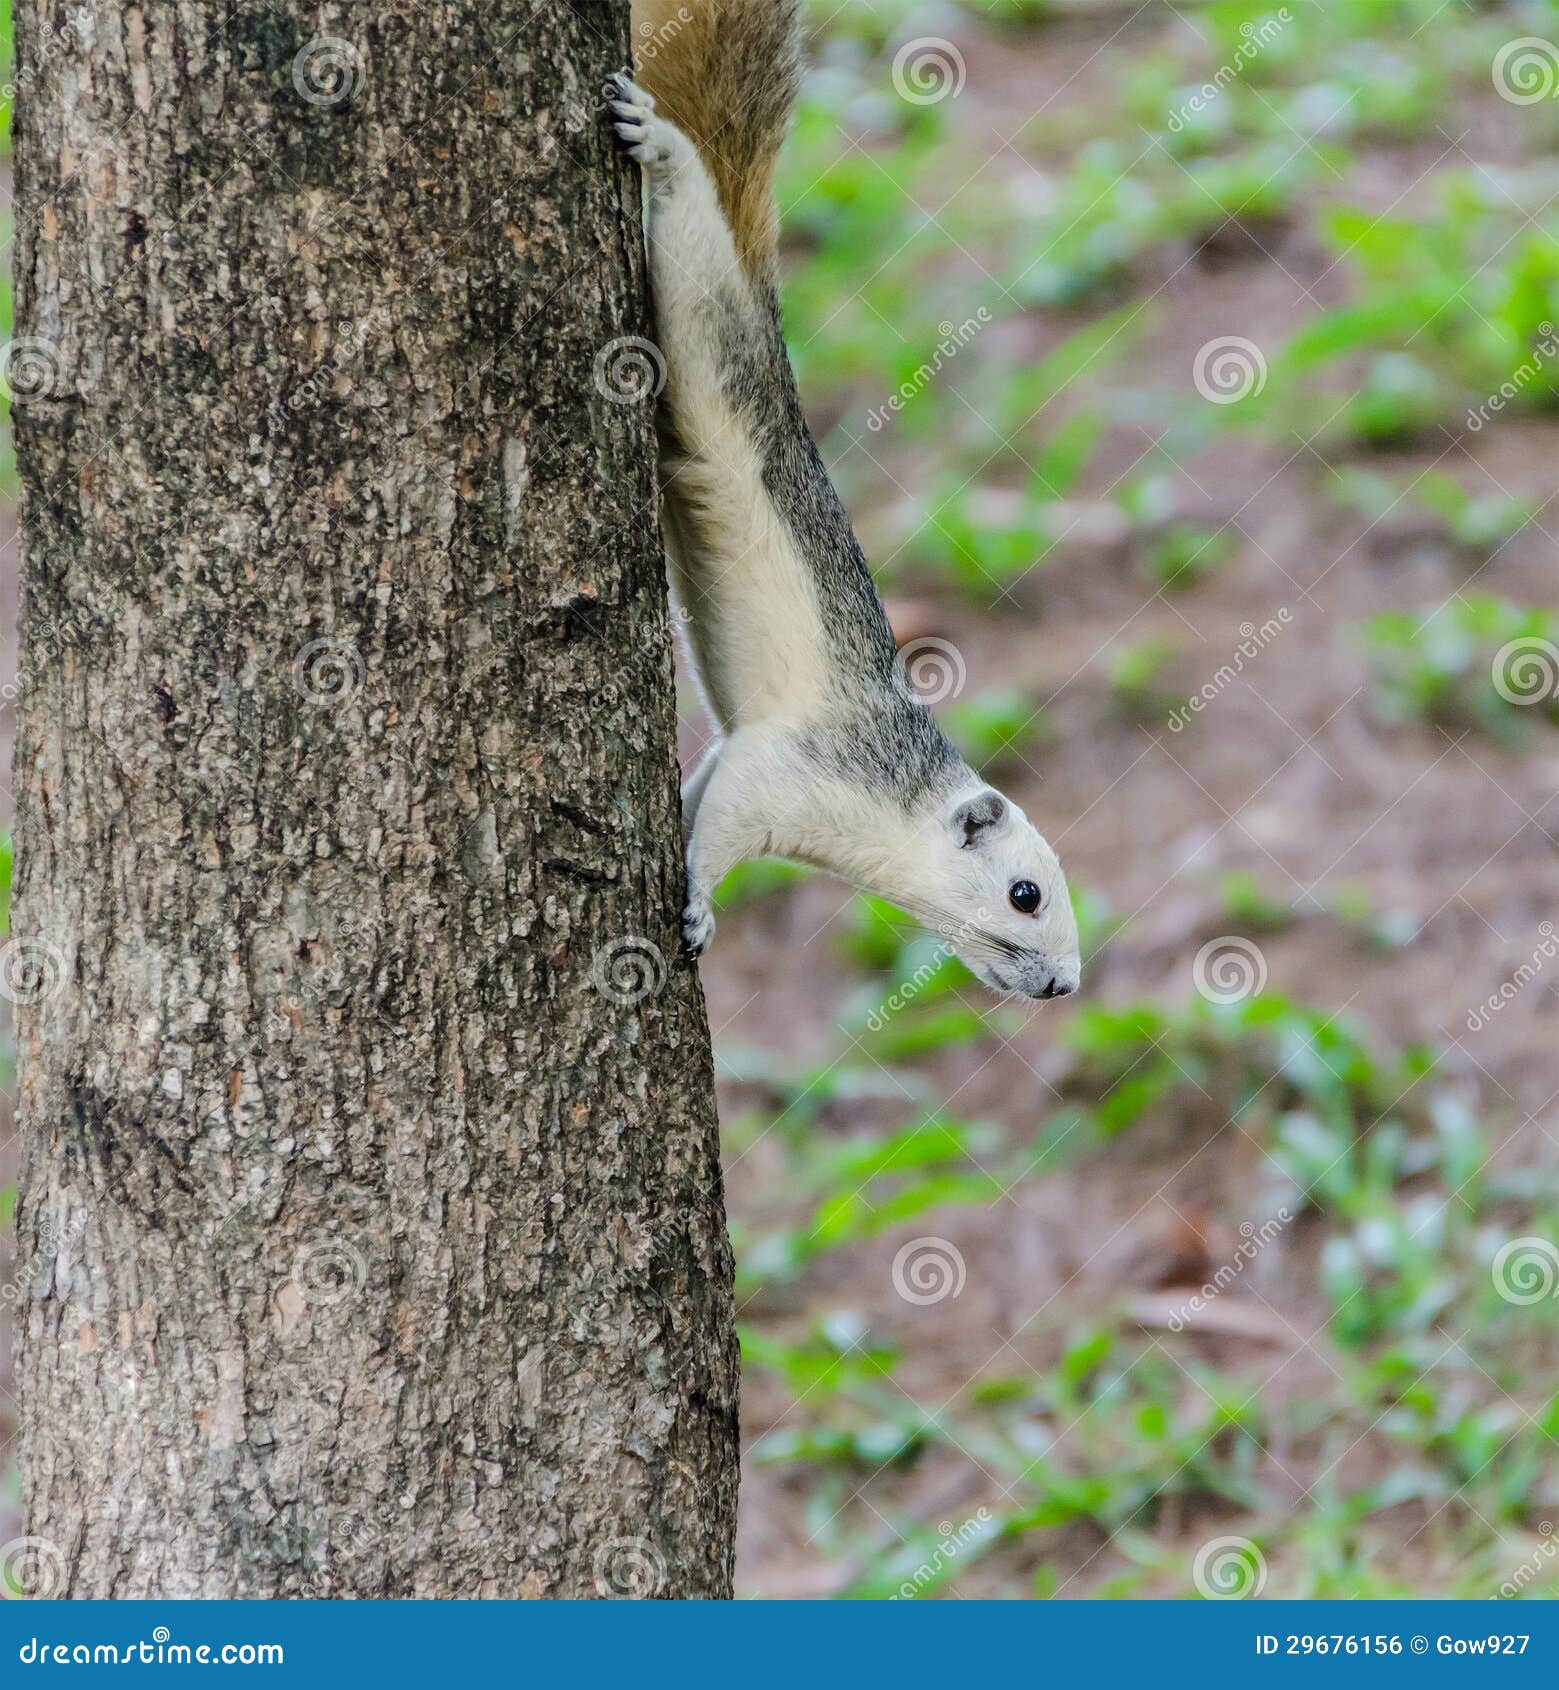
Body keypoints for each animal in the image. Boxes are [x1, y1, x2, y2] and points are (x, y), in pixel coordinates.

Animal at [608, 0, 1080, 1001]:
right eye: (1023, 894)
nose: (1065, 985)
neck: (886, 816)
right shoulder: (788, 776)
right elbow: (721, 825)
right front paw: (697, 908)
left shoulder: (739, 762)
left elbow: (700, 789)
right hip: (707, 313)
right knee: (691, 226)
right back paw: (660, 145)